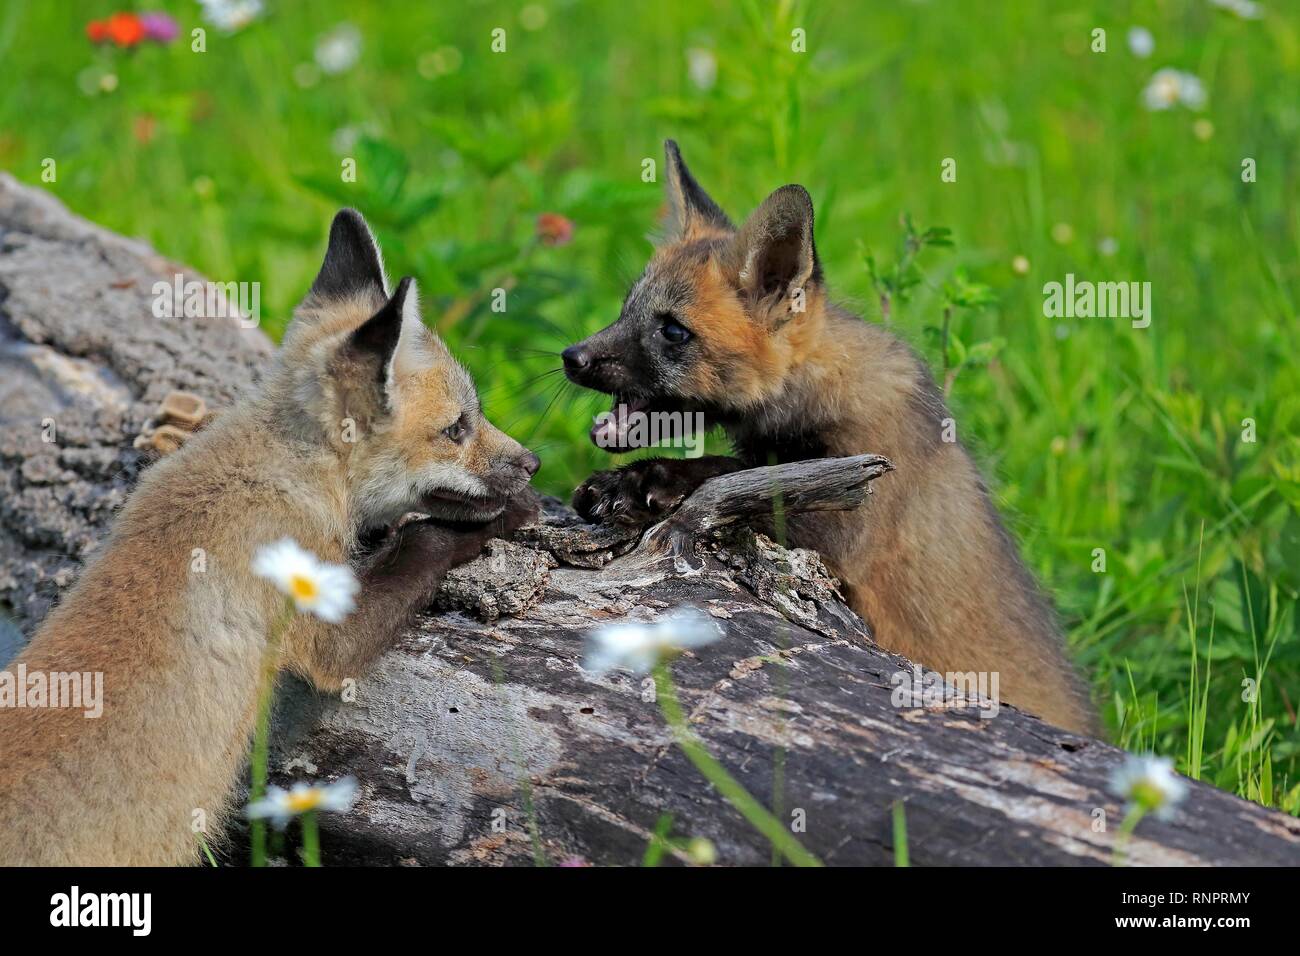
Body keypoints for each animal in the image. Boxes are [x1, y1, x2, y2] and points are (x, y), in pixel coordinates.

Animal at [0, 209, 541, 865]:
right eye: (457, 428)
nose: (535, 464)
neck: (273, 473)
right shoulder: (322, 629)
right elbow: (424, 544)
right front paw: (500, 518)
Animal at [563, 141, 1097, 735]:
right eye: (625, 309)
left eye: (673, 331)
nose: (571, 358)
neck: (825, 392)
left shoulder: (848, 517)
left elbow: (738, 476)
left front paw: (642, 484)